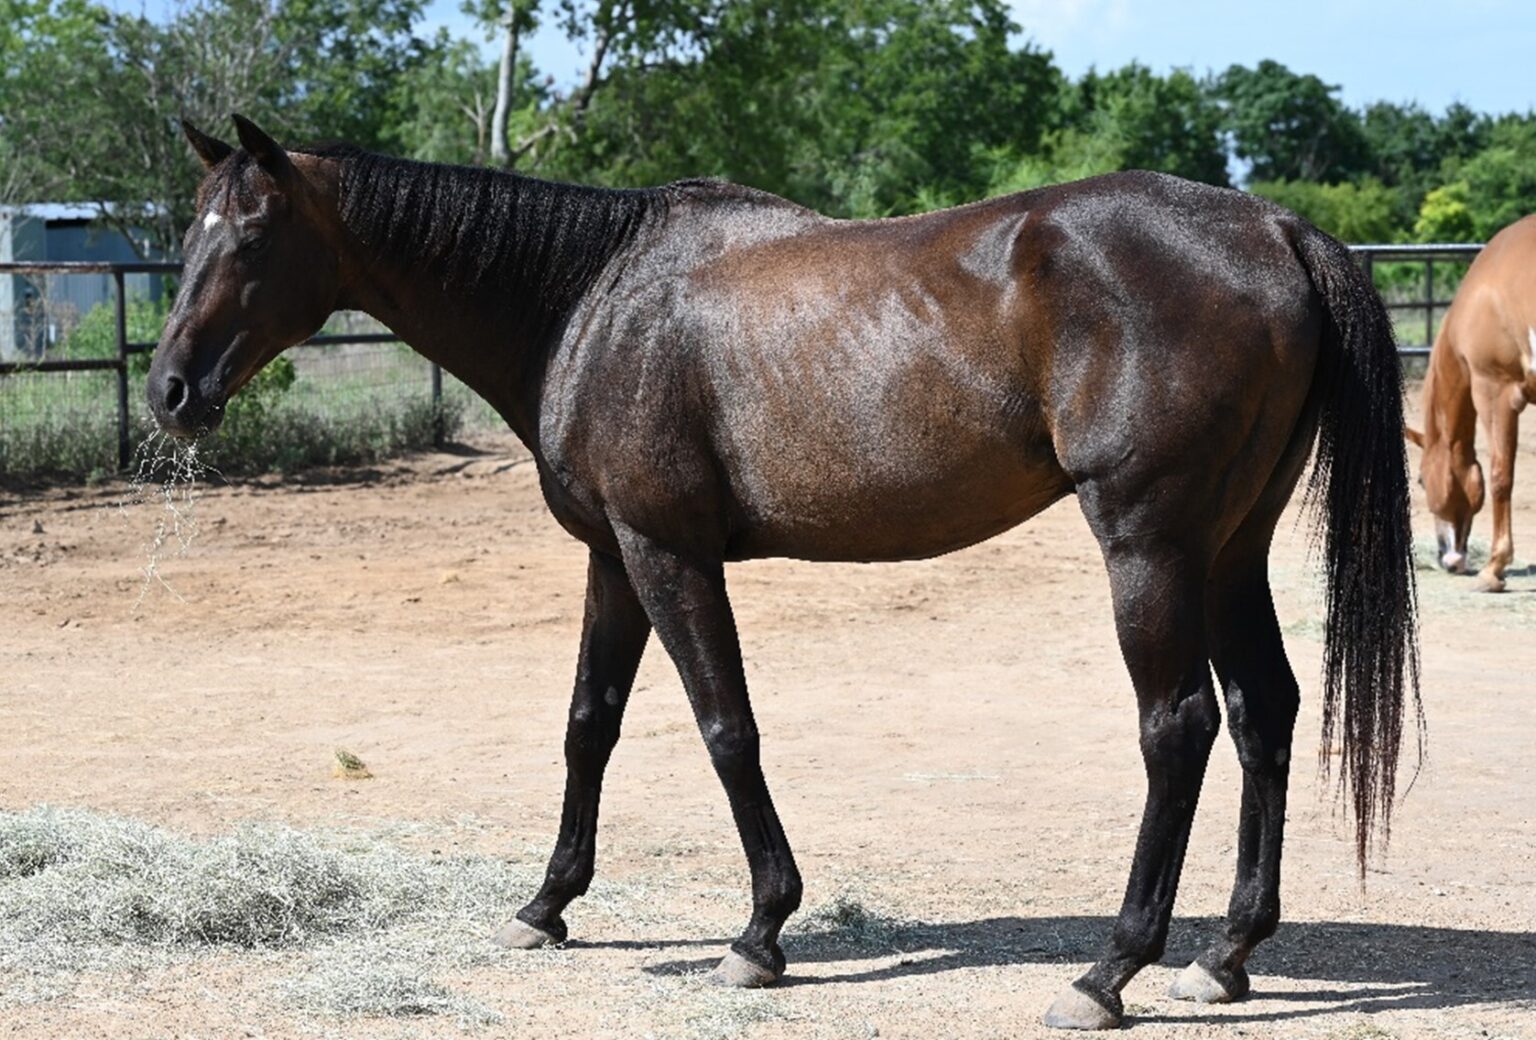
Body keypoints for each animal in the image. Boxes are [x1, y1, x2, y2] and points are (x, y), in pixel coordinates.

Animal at [148, 116, 1419, 1030]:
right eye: (187, 236)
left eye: (249, 237)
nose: (169, 391)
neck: (596, 299)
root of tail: (1274, 229)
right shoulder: (614, 557)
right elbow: (589, 723)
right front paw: (547, 904)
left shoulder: (667, 552)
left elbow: (726, 726)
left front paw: (761, 931)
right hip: (1229, 547)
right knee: (1262, 711)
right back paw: (1226, 953)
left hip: (1151, 544)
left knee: (1179, 723)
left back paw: (1110, 970)